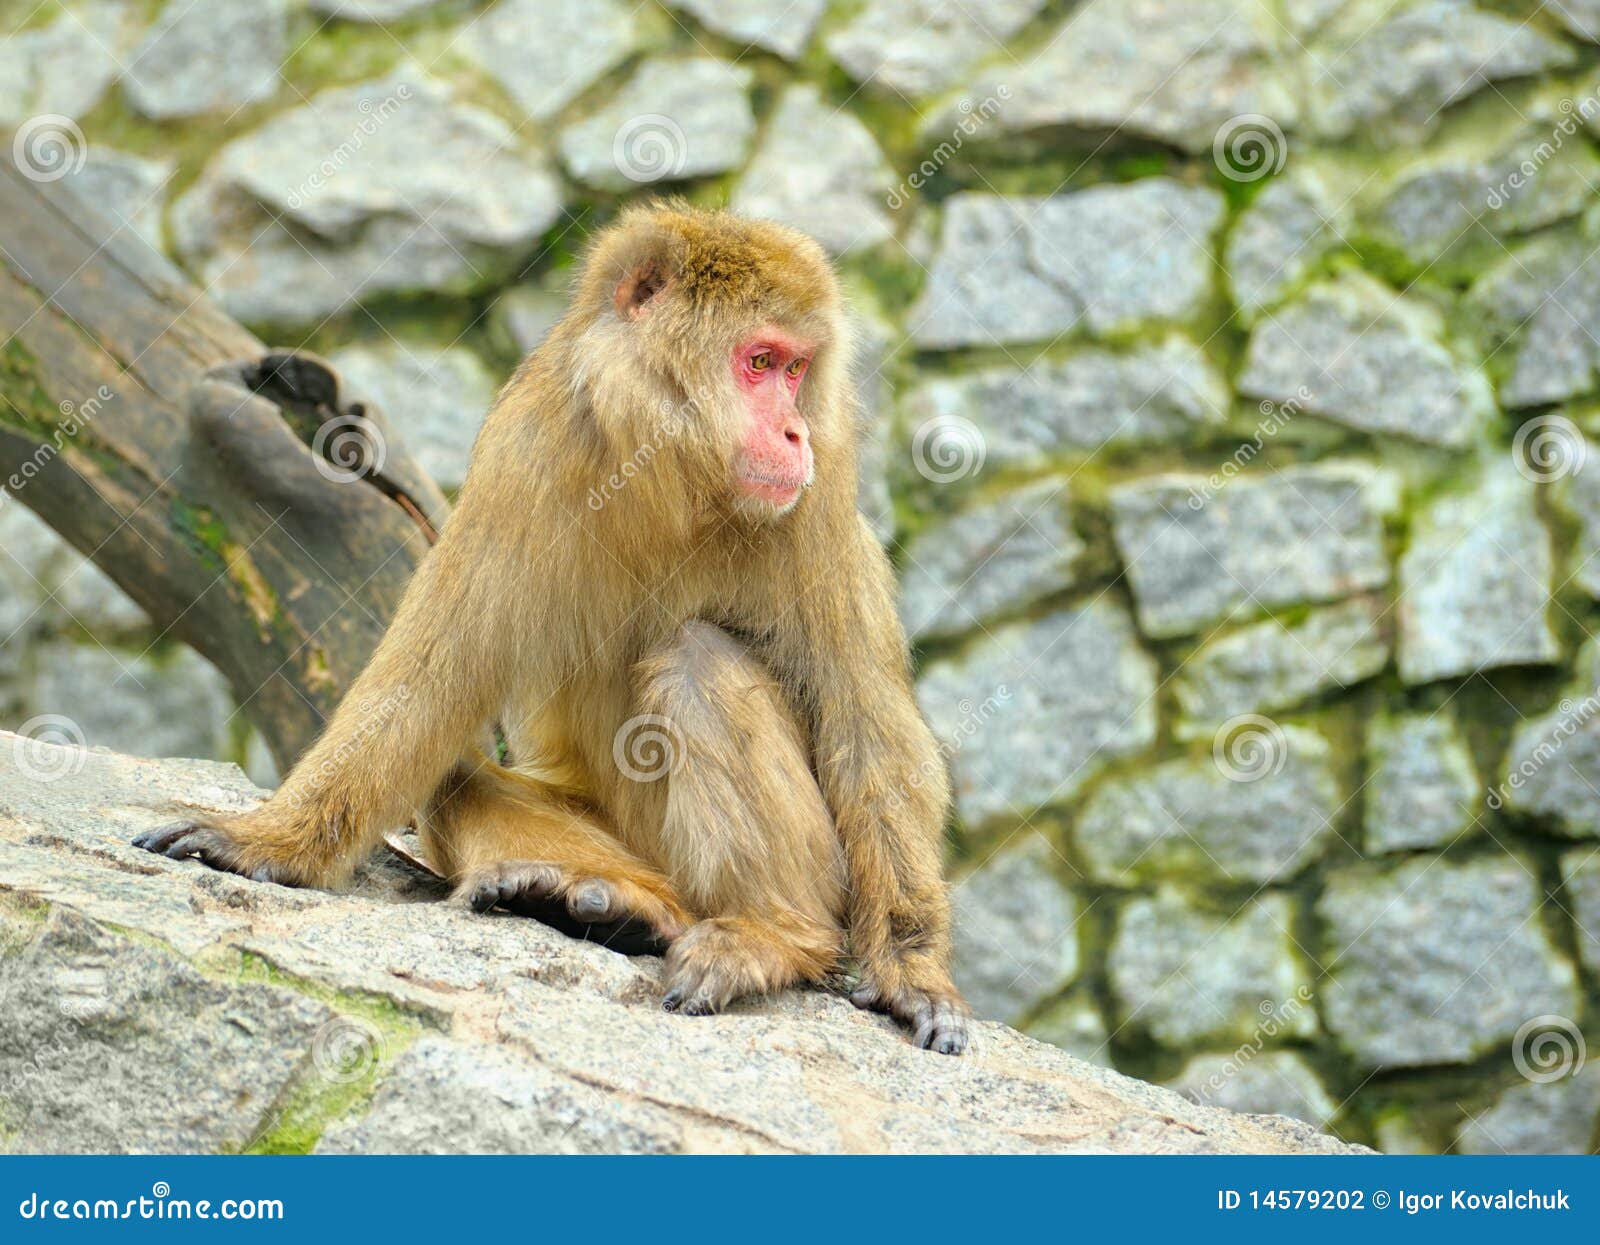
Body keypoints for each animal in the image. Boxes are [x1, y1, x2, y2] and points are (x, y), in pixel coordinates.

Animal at [133, 203, 969, 1054]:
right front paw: (274, 842)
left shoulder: (819, 494)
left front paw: (910, 968)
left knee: (699, 659)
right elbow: (430, 680)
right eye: (760, 362)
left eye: (797, 371)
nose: (795, 431)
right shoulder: (526, 444)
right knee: (454, 777)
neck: (667, 469)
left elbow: (864, 723)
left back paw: (776, 932)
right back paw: (621, 906)